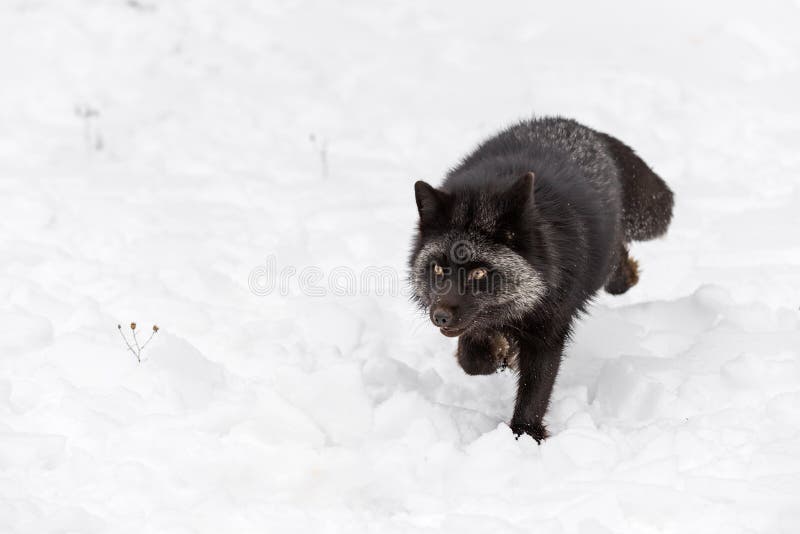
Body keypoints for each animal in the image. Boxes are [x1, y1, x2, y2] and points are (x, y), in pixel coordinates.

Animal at [409, 117, 674, 442]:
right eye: (438, 269)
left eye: (479, 272)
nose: (440, 316)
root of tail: (579, 126)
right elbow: (472, 361)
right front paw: (497, 350)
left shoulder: (549, 329)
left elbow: (535, 390)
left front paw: (525, 435)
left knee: (615, 255)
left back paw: (624, 275)